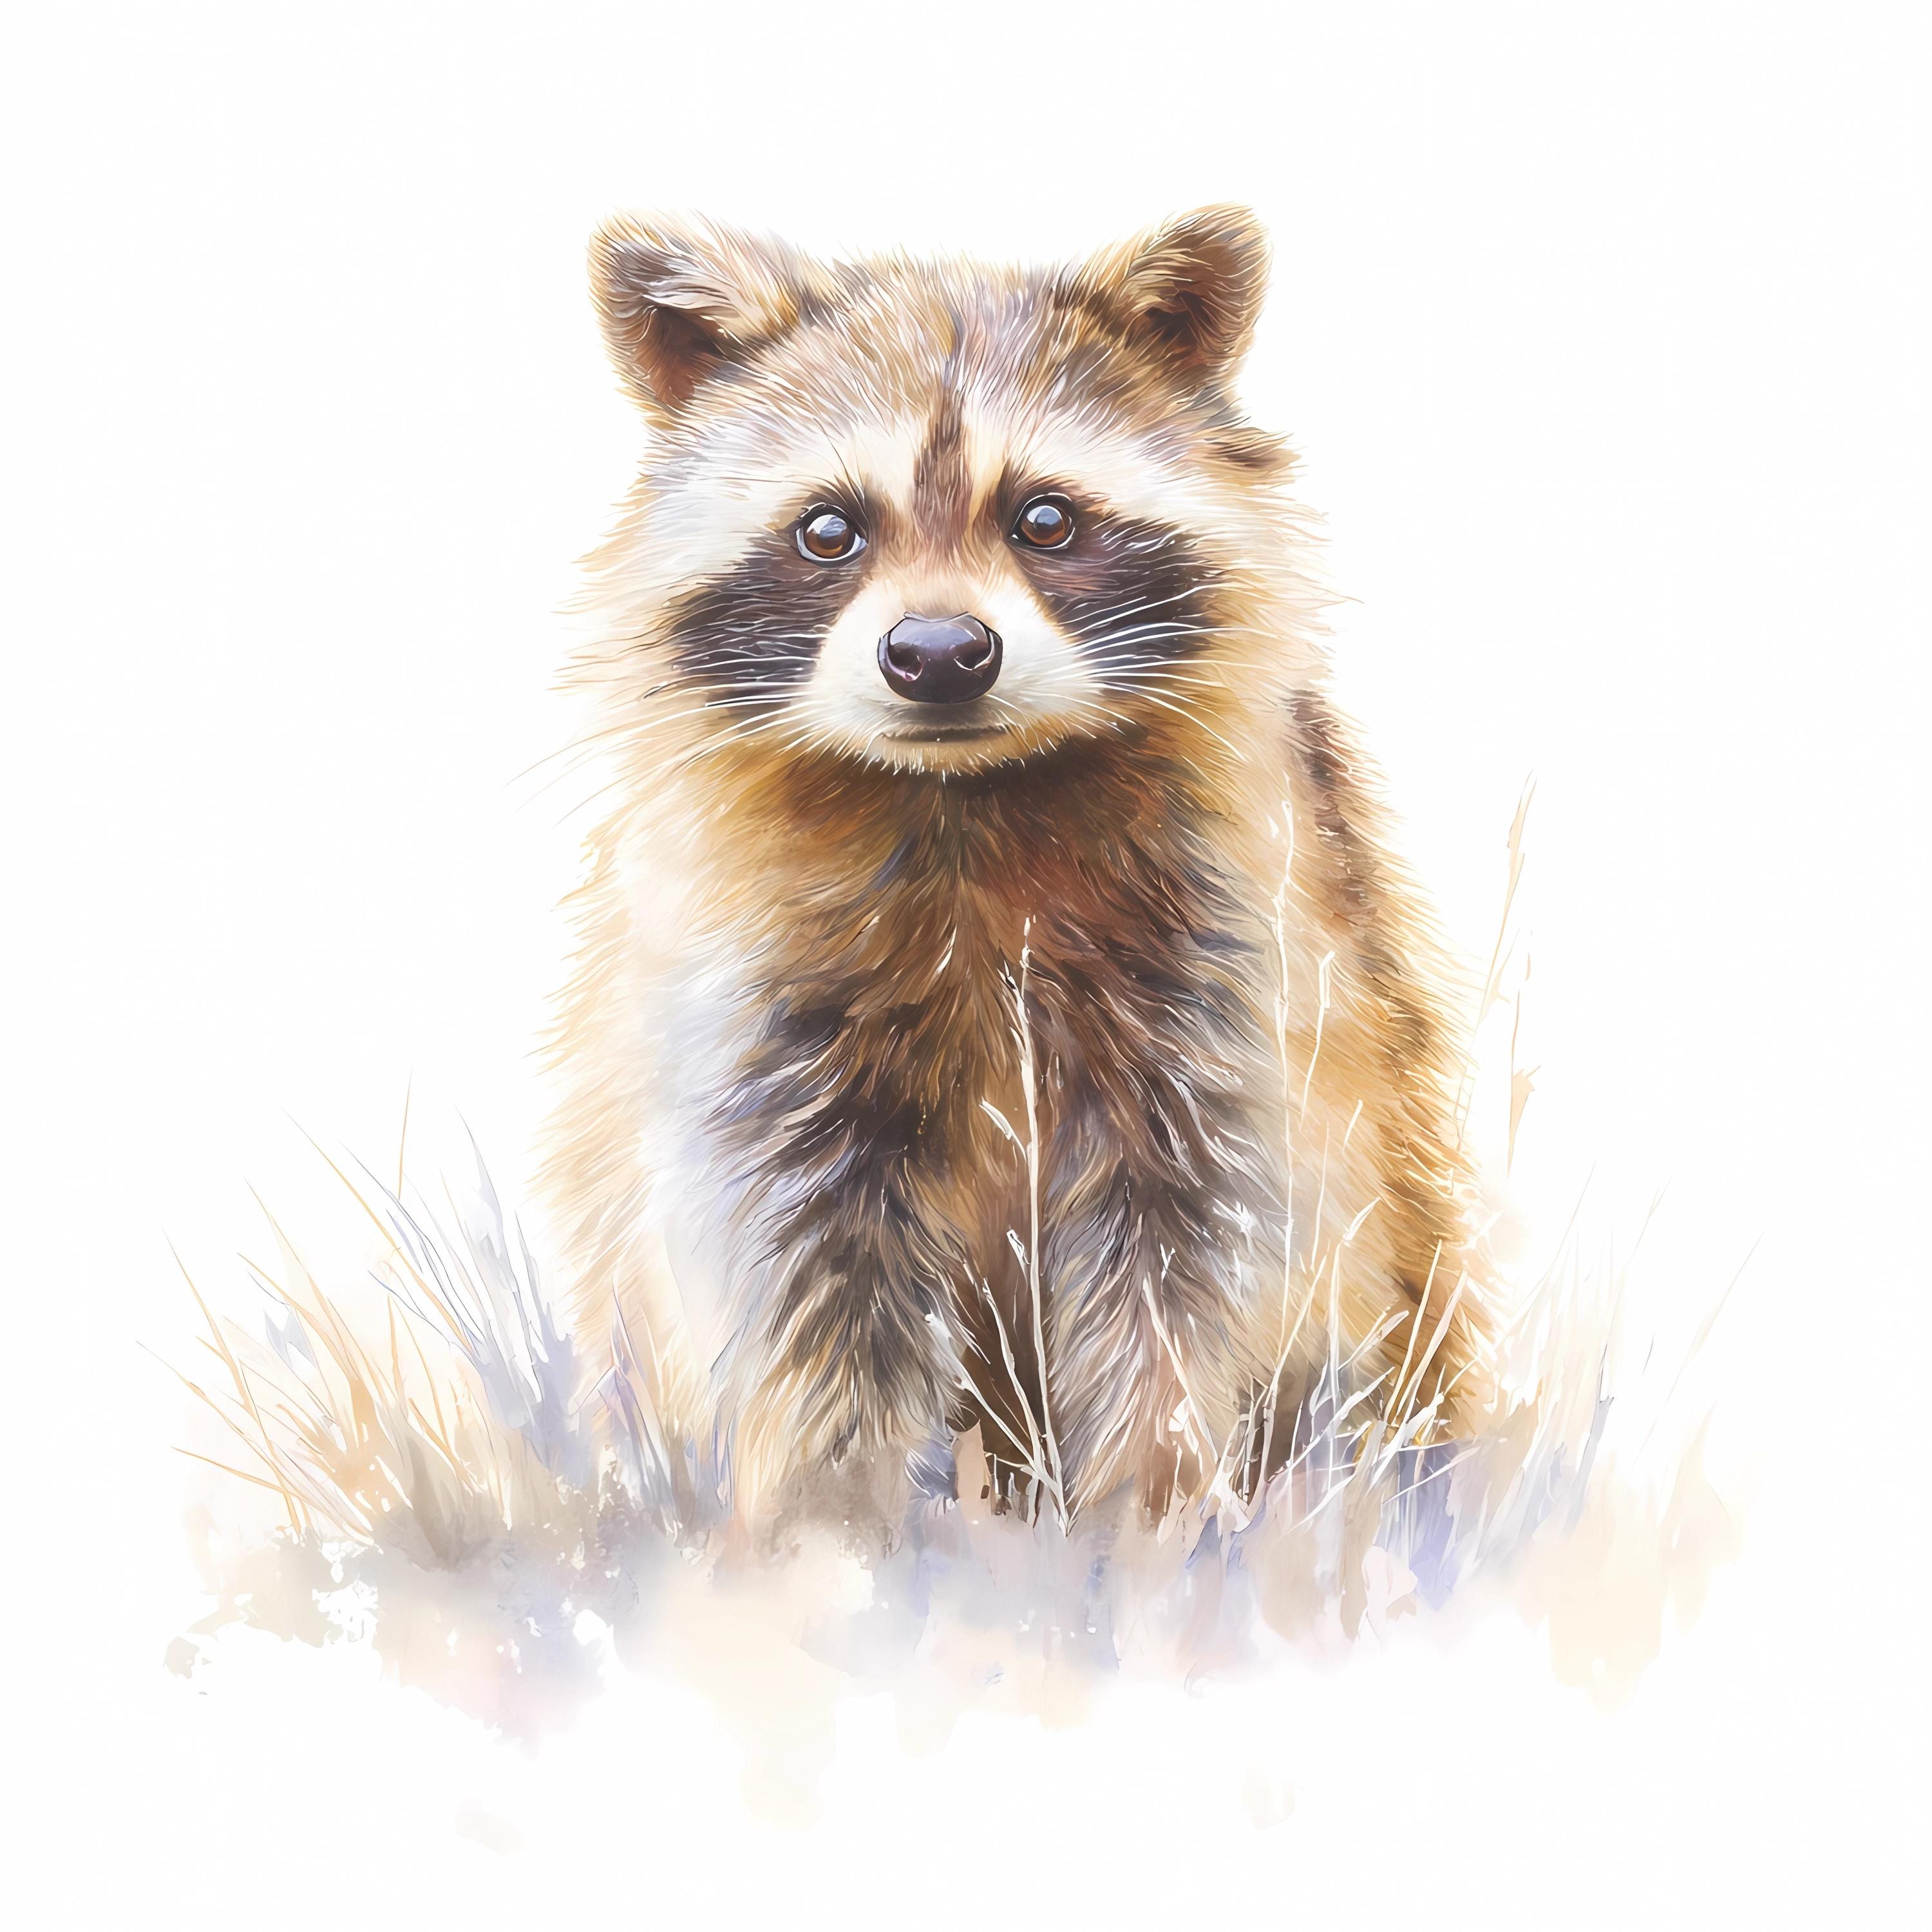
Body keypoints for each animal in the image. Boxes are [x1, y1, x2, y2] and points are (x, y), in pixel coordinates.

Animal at [542, 207, 1495, 1532]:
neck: (966, 796)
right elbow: (805, 1295)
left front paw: (1155, 1517)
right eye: (829, 529)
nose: (941, 655)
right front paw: (831, 1529)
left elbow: (1187, 1280)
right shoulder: (755, 1027)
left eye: (1045, 519)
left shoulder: (1243, 985)